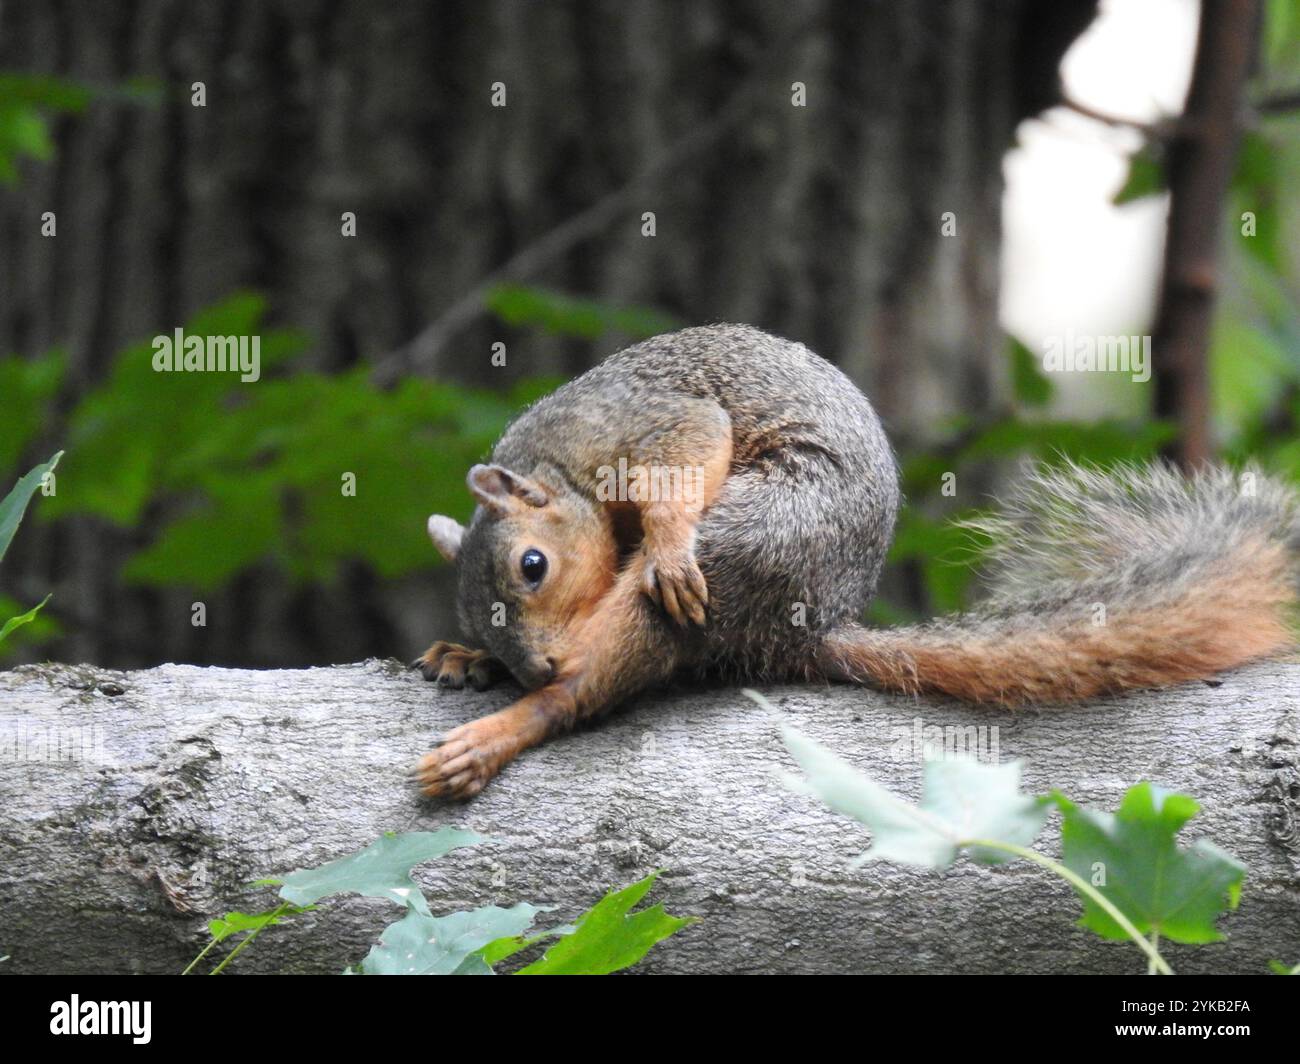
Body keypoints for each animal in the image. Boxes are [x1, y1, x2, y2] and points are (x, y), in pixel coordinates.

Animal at [411, 323, 1300, 799]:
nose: (530, 663)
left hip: (754, 539)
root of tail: (812, 626)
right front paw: (467, 653)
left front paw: (661, 549)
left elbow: (687, 462)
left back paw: (507, 727)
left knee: (601, 676)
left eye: (533, 566)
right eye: (483, 616)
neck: (557, 464)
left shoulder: (647, 427)